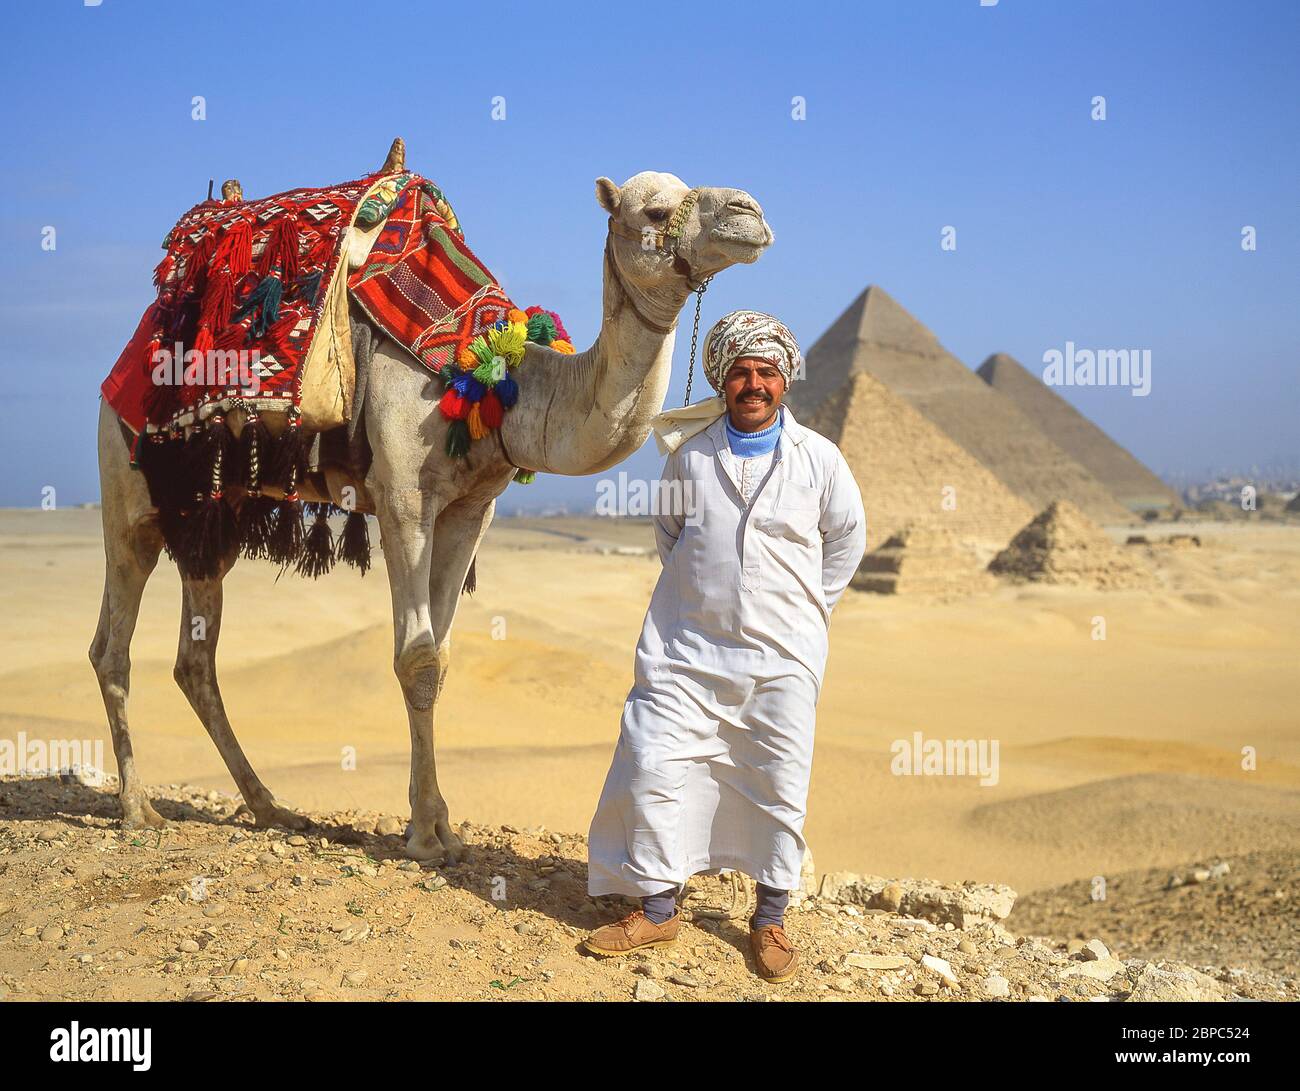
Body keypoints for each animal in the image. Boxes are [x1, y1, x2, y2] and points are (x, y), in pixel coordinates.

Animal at [90, 159, 773, 863]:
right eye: (656, 212)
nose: (749, 211)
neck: (498, 382)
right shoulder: (403, 496)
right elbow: (415, 657)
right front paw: (423, 832)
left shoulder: (472, 508)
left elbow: (440, 657)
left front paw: (445, 824)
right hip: (130, 480)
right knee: (113, 639)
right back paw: (138, 808)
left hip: (213, 514)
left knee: (194, 658)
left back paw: (269, 807)